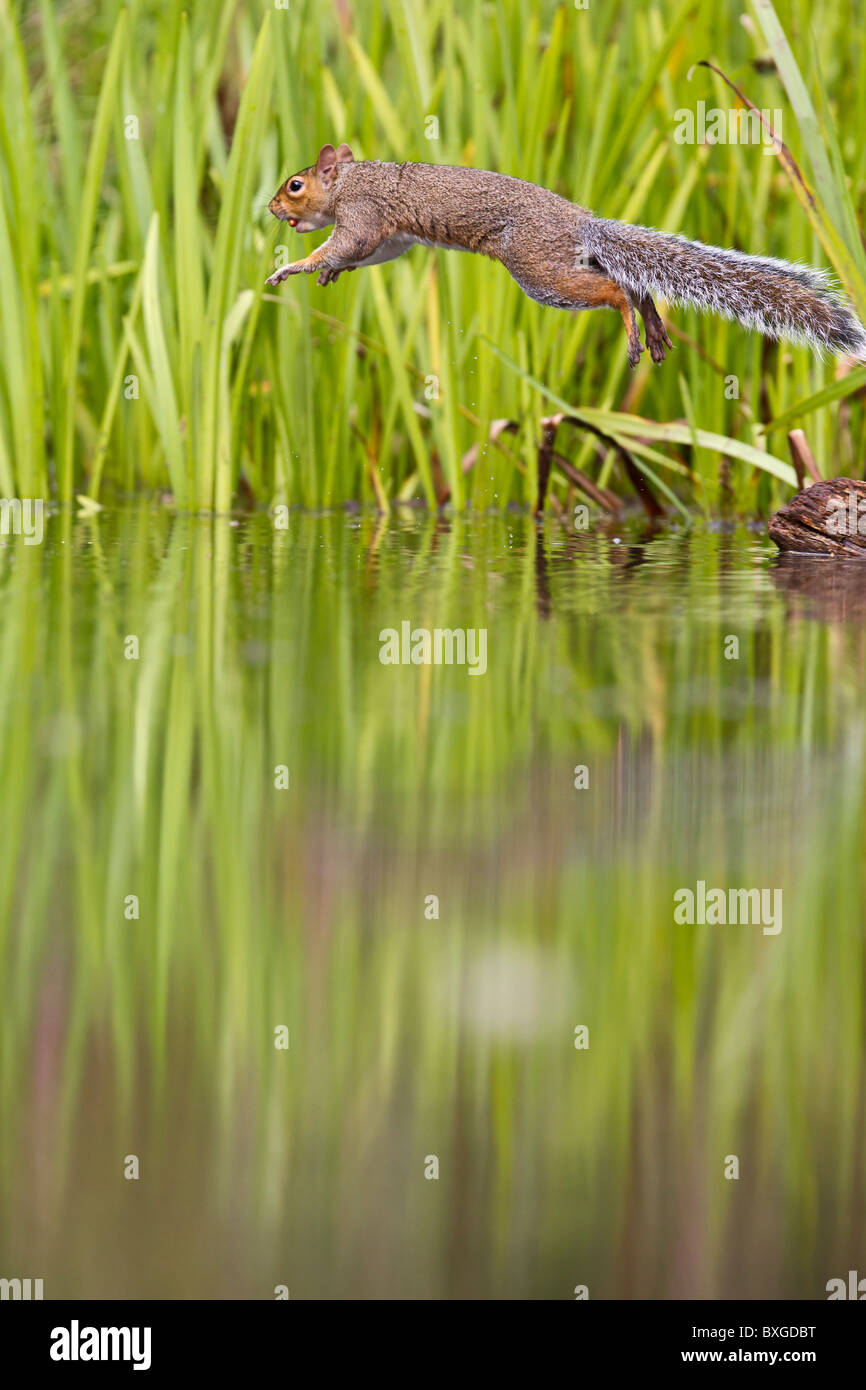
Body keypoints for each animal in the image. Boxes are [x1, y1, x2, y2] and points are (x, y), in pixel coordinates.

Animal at [266, 143, 866, 367]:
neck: (349, 180)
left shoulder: (363, 214)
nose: (272, 208)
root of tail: (583, 224)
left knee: (617, 290)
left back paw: (633, 329)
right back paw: (653, 328)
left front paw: (293, 267)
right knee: (638, 284)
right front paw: (332, 273)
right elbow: (370, 253)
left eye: (294, 185)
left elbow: (345, 244)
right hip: (566, 262)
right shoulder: (391, 235)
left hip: (538, 270)